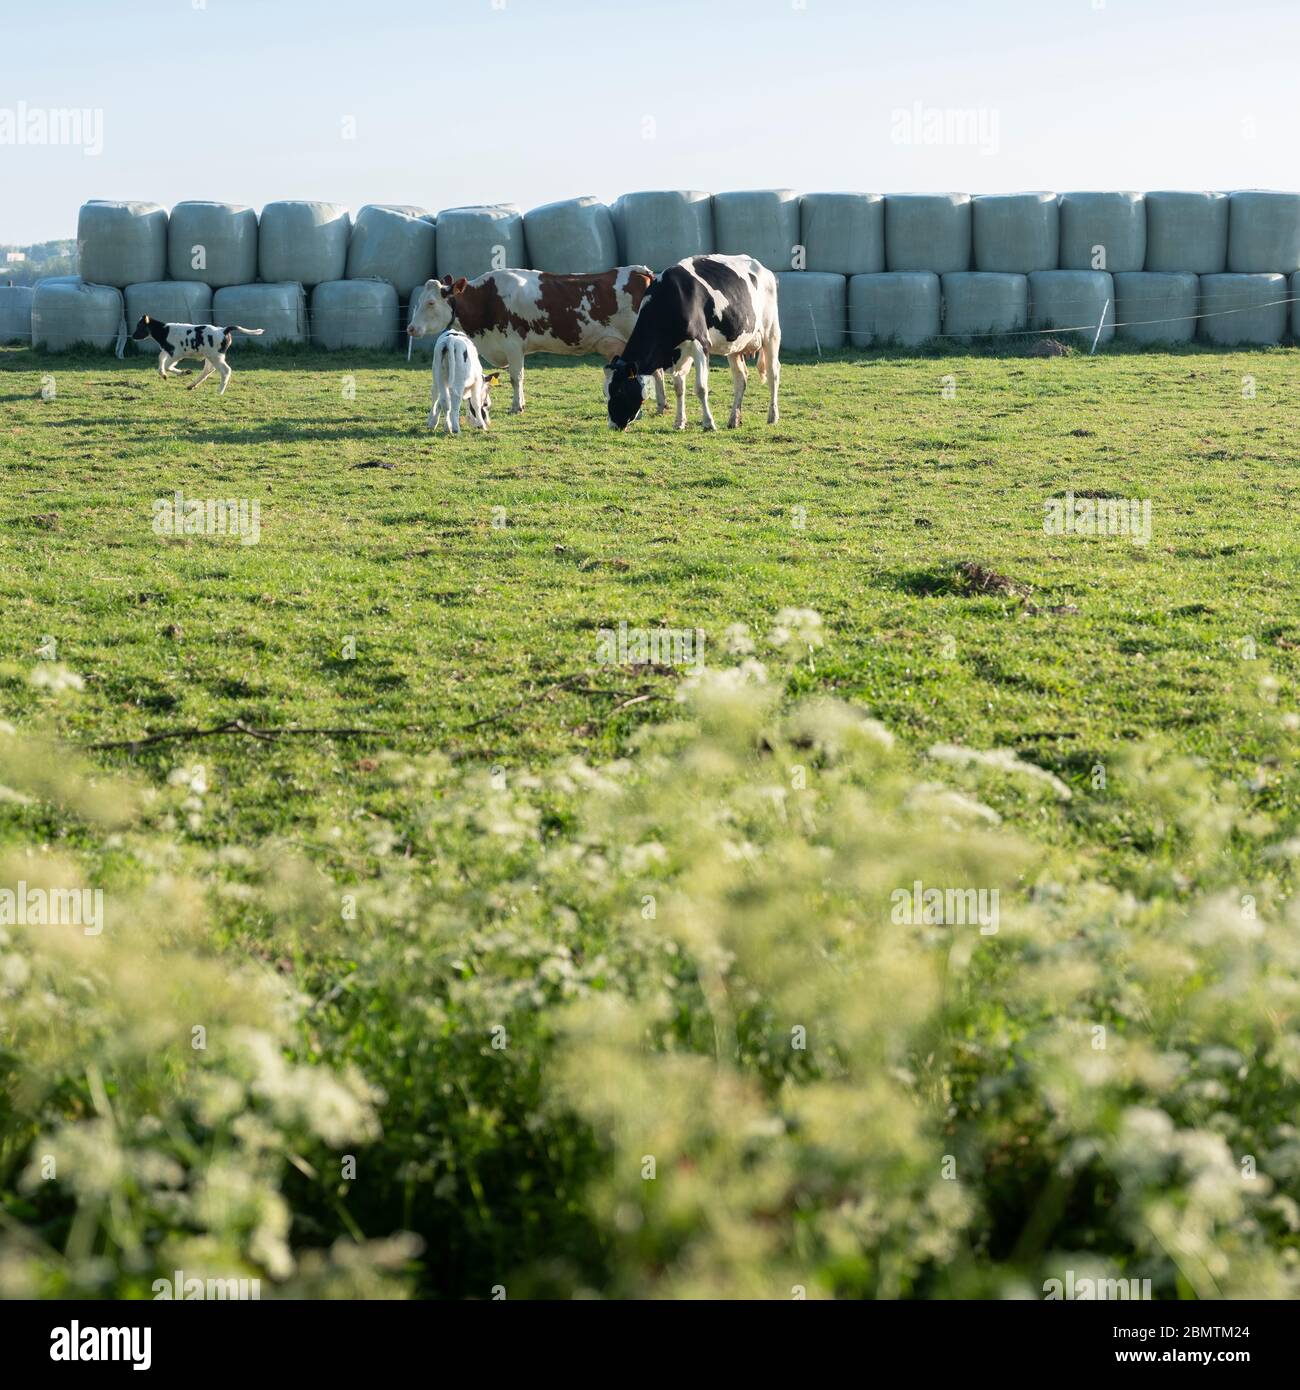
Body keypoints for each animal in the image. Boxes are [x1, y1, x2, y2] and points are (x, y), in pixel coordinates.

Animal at [406, 267, 667, 415]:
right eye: (418, 301)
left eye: (431, 302)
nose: (411, 328)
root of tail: (641, 272)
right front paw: (520, 404)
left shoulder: (512, 344)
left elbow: (516, 377)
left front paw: (516, 407)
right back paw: (661, 405)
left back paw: (662, 405)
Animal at [605, 254, 781, 432]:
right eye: (606, 393)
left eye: (620, 391)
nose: (613, 425)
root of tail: (764, 269)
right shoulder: (678, 353)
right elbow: (678, 387)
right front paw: (679, 422)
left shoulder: (700, 344)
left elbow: (701, 388)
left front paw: (709, 423)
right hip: (735, 343)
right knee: (740, 378)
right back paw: (734, 419)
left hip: (771, 332)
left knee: (773, 372)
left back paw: (772, 417)